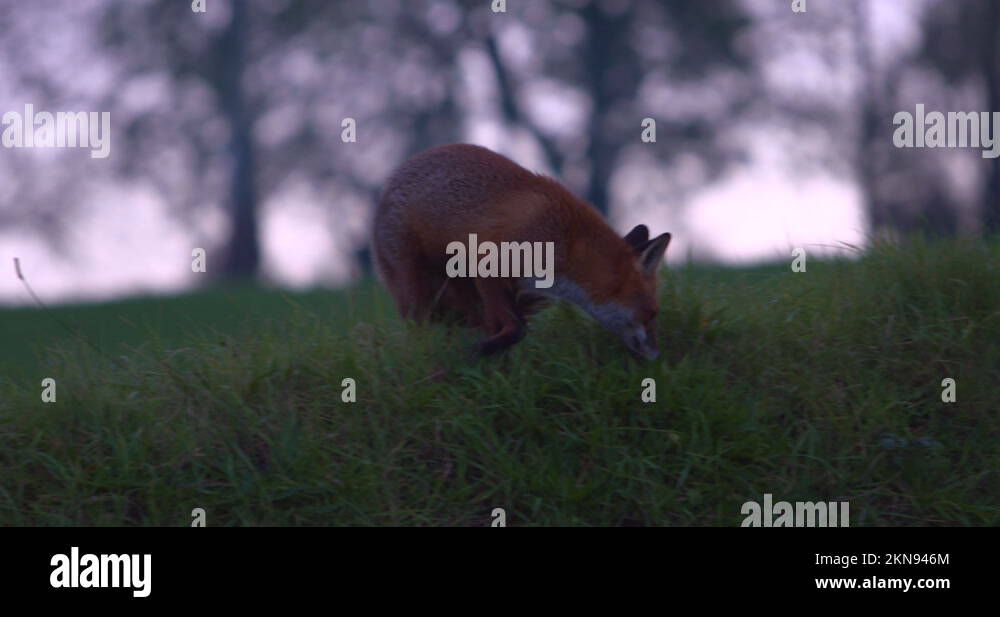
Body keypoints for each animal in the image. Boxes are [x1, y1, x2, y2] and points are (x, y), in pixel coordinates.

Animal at [372, 143, 671, 359]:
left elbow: (506, 328)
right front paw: (479, 352)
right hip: (414, 287)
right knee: (417, 331)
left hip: (462, 290)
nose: (657, 355)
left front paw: (495, 363)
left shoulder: (507, 286)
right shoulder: (488, 268)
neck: (564, 240)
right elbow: (517, 329)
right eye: (653, 313)